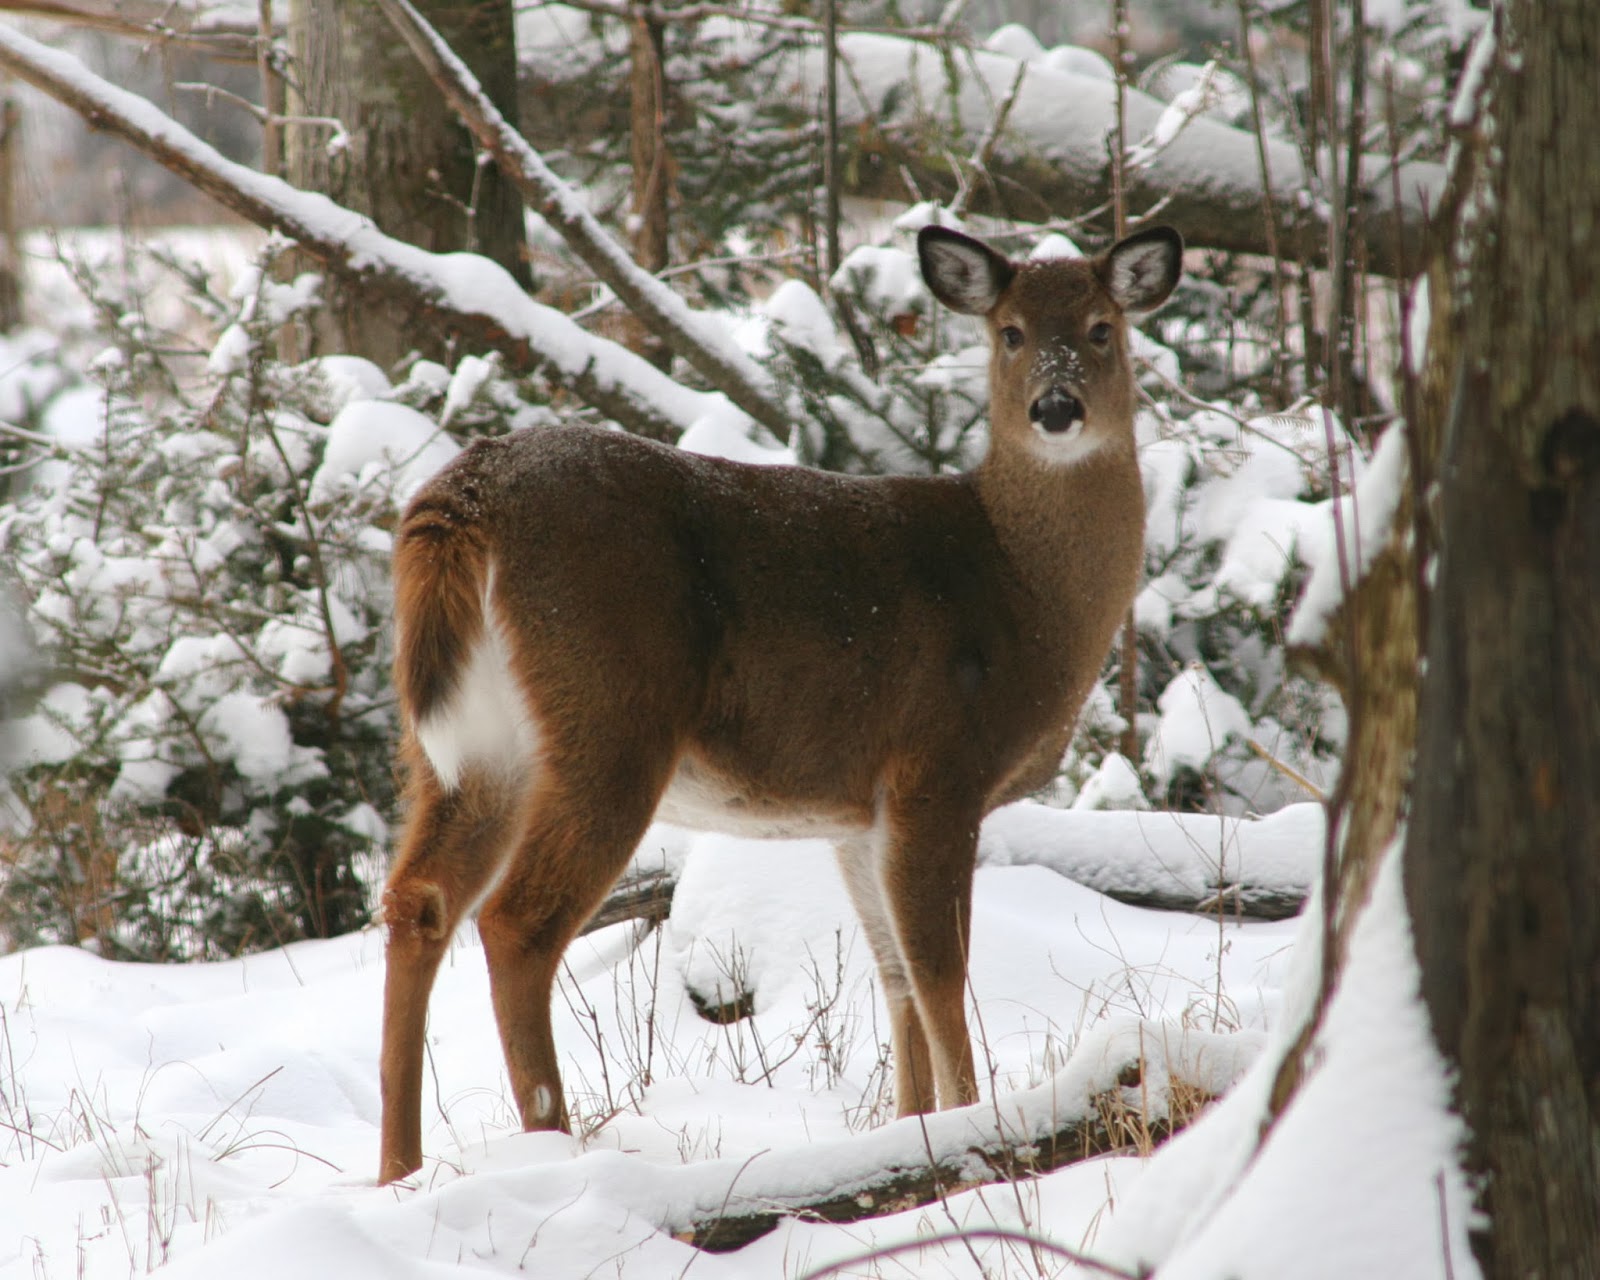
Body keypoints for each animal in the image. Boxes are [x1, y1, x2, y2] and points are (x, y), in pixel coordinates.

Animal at [377, 222, 1183, 1183]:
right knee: (515, 923)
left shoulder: (858, 813)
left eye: (1102, 328)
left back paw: (397, 1170)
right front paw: (971, 1135)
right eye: (1010, 332)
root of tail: (466, 496)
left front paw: (909, 1132)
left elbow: (895, 975)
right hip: (608, 714)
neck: (1024, 593)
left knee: (419, 899)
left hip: (473, 744)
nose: (1056, 409)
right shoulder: (937, 769)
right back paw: (553, 1146)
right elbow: (940, 974)